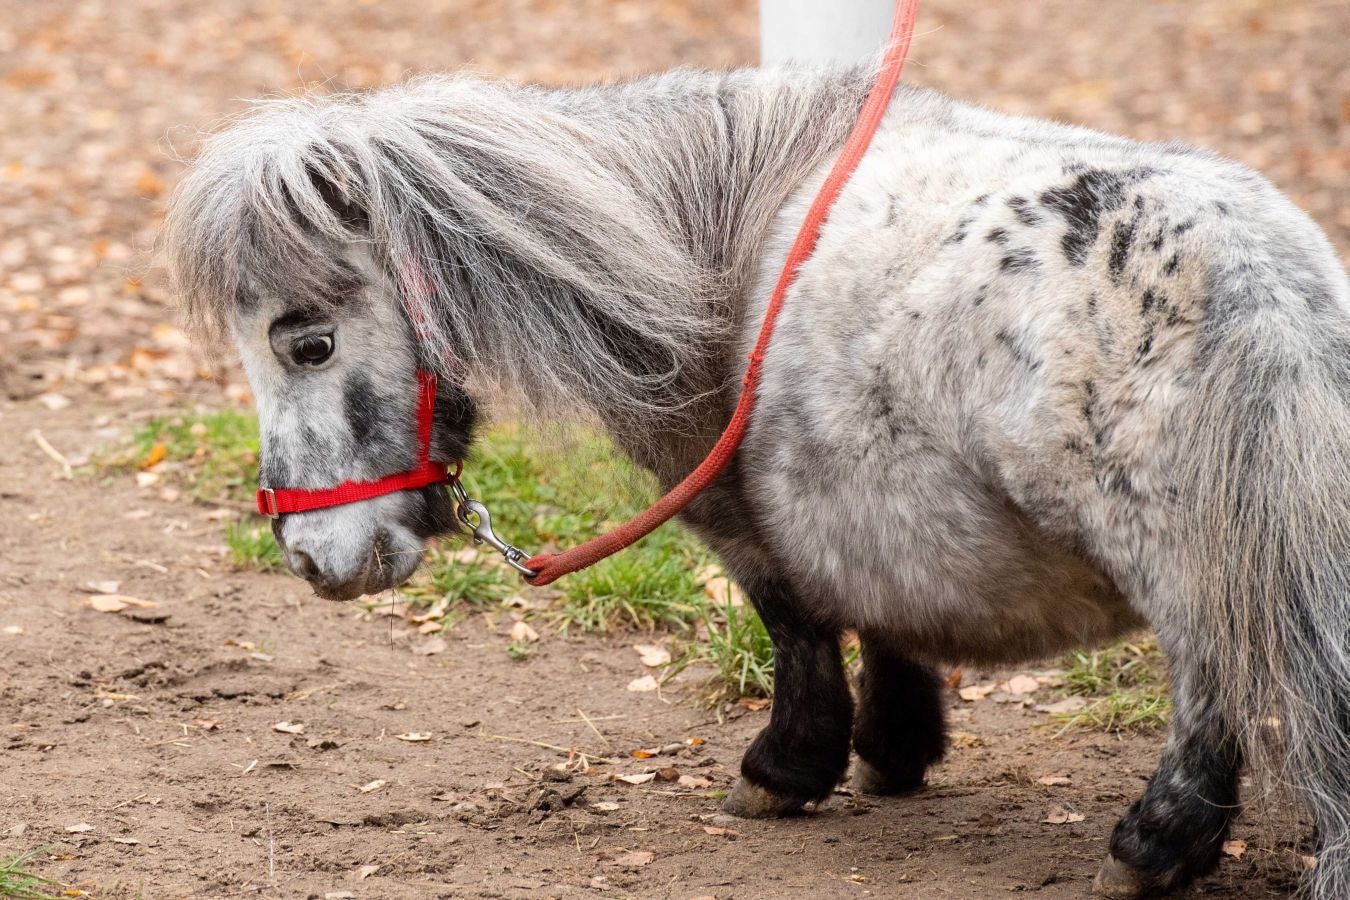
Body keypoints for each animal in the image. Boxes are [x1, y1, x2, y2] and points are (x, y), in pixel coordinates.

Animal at [162, 66, 1350, 899]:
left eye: (306, 341)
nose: (314, 559)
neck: (705, 244)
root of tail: (1258, 279)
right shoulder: (873, 517)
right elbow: (887, 616)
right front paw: (895, 750)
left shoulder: (735, 513)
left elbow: (795, 620)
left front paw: (788, 768)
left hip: (1182, 556)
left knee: (1211, 680)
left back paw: (1150, 847)